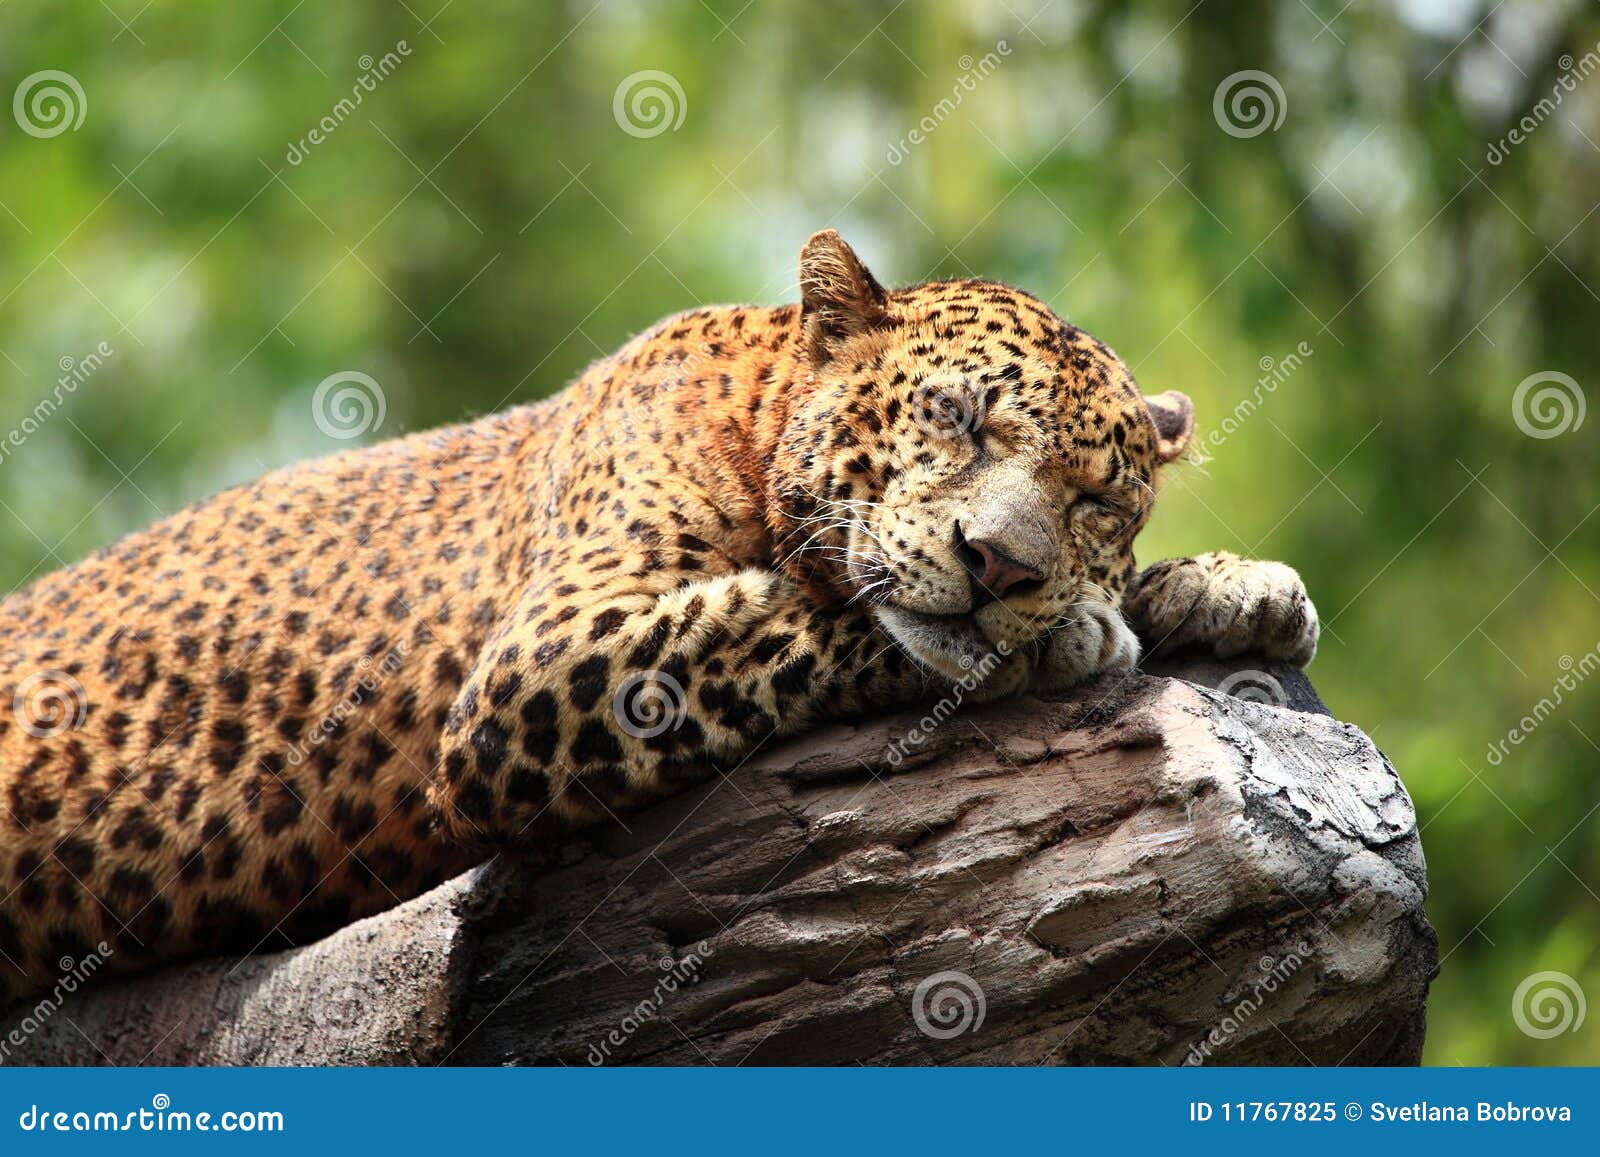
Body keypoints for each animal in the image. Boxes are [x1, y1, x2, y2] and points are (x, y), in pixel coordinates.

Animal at [0, 230, 1317, 1011]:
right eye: (956, 415)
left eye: (1096, 500)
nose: (998, 564)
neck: (757, 413)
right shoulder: (552, 656)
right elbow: (793, 613)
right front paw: (1066, 632)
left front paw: (1227, 589)